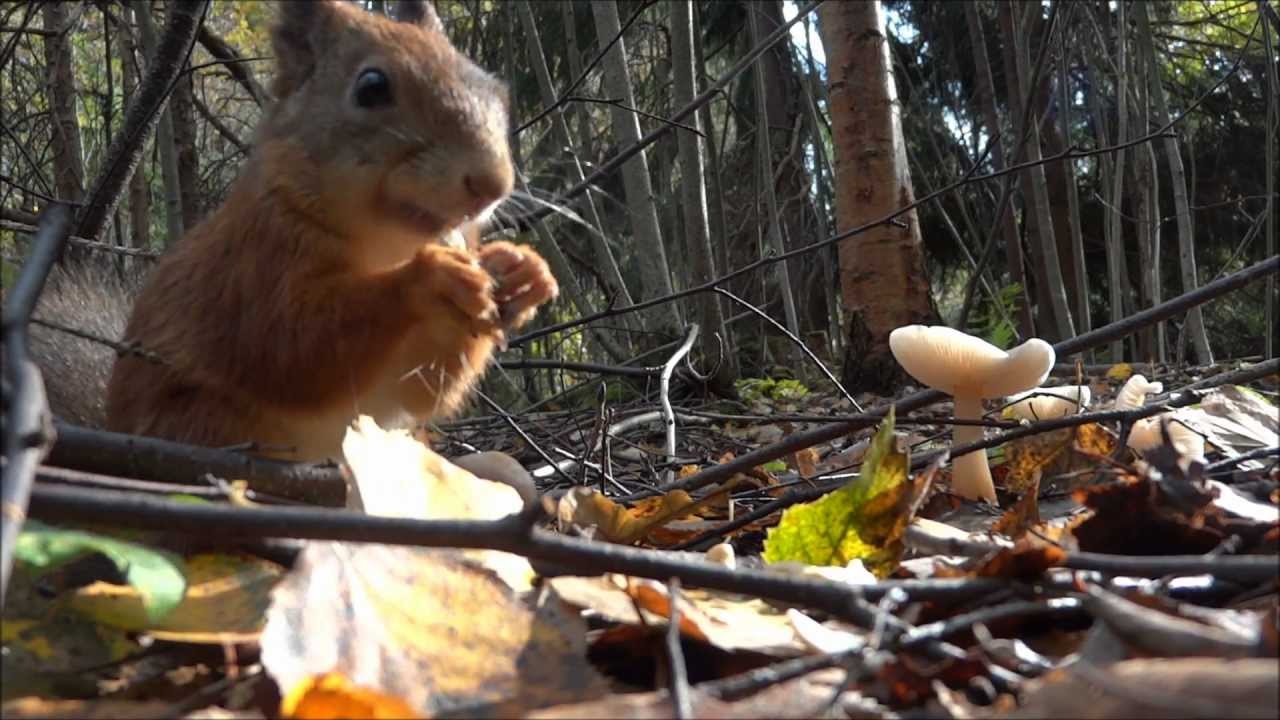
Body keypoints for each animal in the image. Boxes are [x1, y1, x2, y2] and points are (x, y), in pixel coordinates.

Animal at [27, 0, 557, 464]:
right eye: (371, 87)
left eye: (491, 85)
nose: (492, 183)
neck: (386, 243)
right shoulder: (256, 262)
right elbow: (293, 348)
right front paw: (429, 277)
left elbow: (421, 390)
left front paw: (523, 270)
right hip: (206, 424)